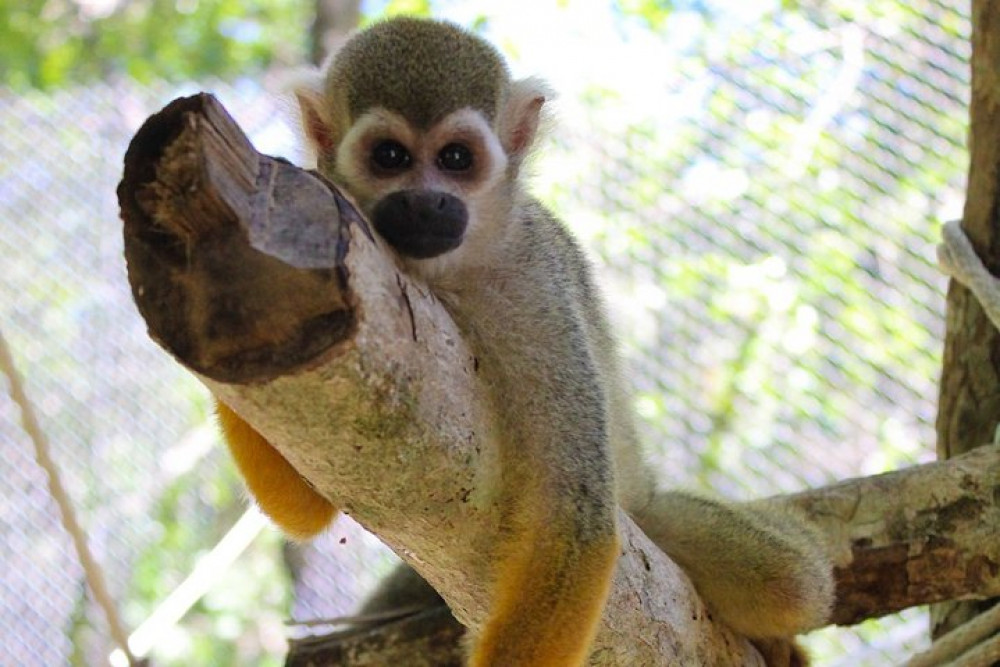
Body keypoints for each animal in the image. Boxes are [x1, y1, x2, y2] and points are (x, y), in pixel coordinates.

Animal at [214, 16, 834, 666]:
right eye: (390, 157)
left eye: (456, 158)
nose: (426, 202)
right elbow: (308, 509)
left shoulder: (536, 290)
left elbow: (573, 524)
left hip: (652, 510)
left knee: (793, 582)